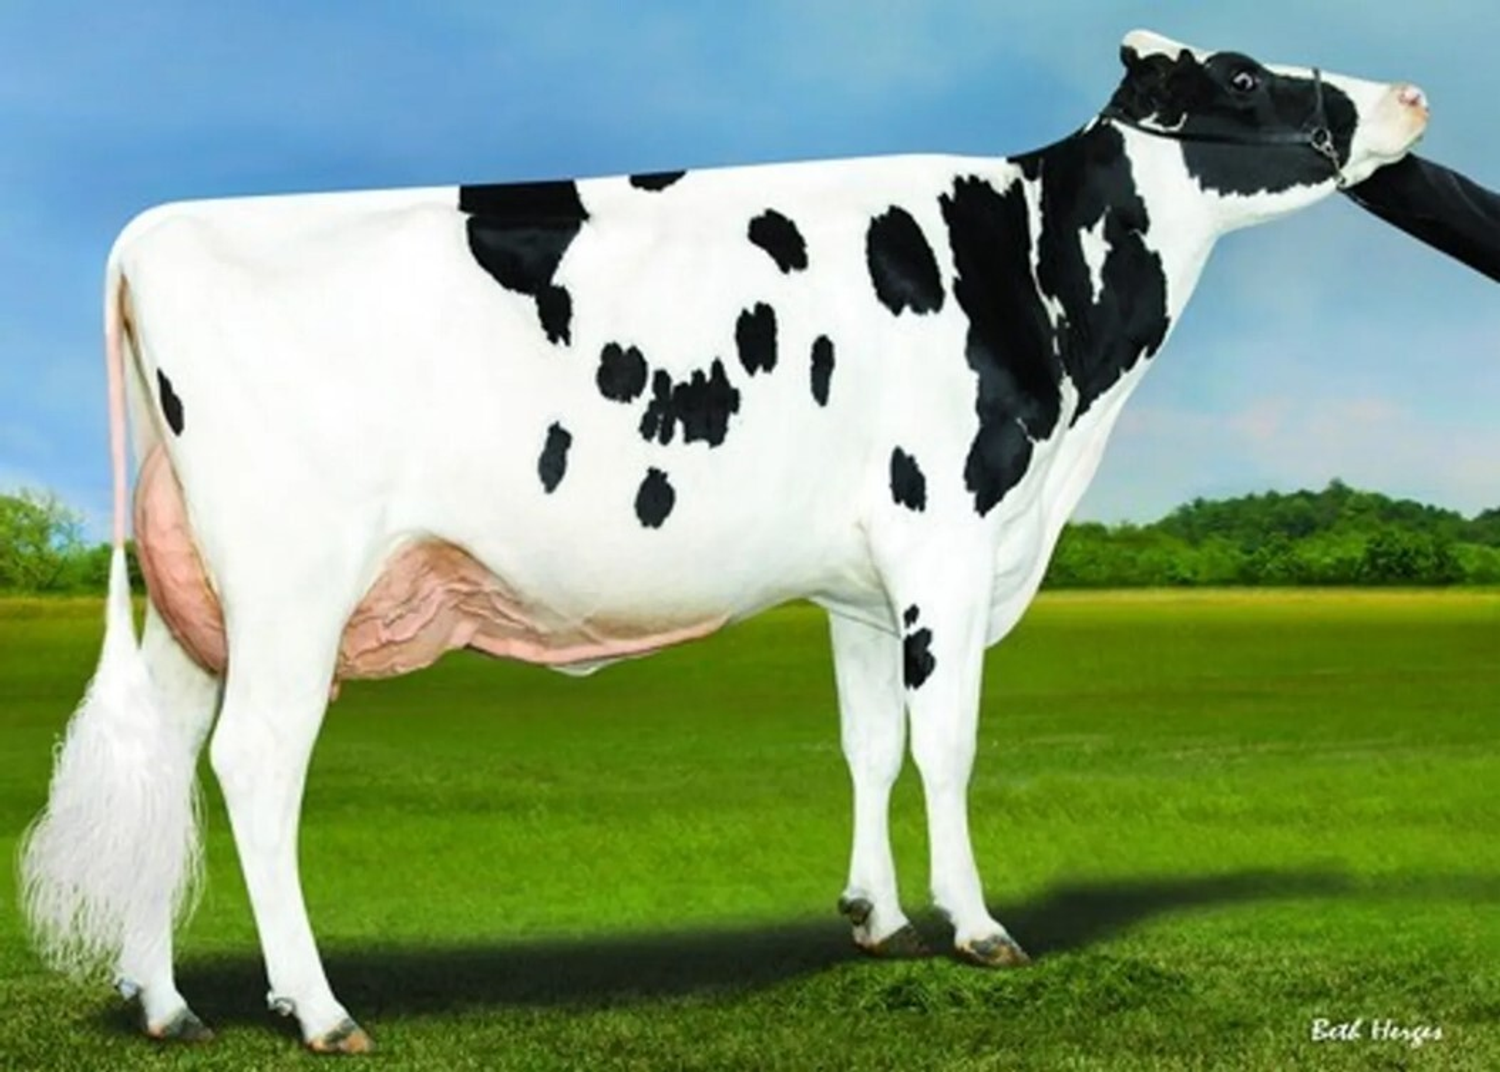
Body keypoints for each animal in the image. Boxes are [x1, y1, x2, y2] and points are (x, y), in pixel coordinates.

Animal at [20, 29, 1430, 1054]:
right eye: (1242, 77)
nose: (1412, 93)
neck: (1033, 279)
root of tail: (158, 230)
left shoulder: (864, 586)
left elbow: (870, 741)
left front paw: (875, 915)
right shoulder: (945, 541)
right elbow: (947, 745)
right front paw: (975, 926)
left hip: (197, 601)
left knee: (166, 756)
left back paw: (165, 1004)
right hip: (293, 585)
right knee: (254, 767)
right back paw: (316, 1010)